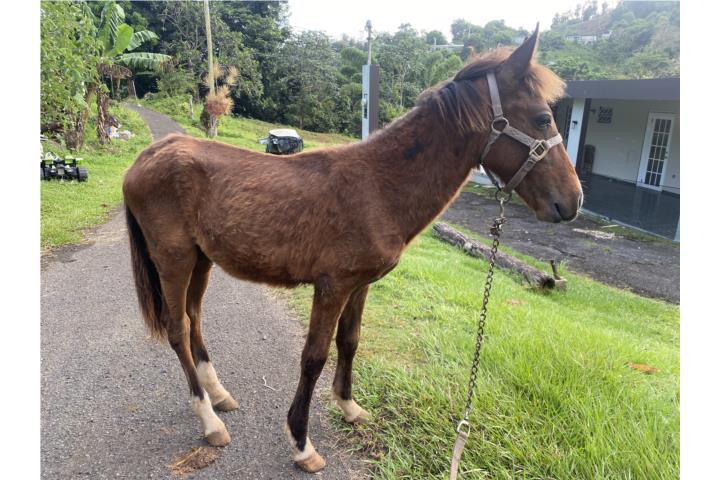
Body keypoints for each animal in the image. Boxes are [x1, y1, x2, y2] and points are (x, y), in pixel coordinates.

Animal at [122, 27, 582, 473]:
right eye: (542, 118)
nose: (573, 201)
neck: (377, 187)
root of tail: (145, 158)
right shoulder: (332, 286)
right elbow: (314, 357)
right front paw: (301, 442)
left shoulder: (361, 284)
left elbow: (350, 342)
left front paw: (348, 406)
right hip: (174, 259)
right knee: (177, 327)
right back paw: (210, 420)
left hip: (201, 260)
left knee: (194, 320)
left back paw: (219, 396)